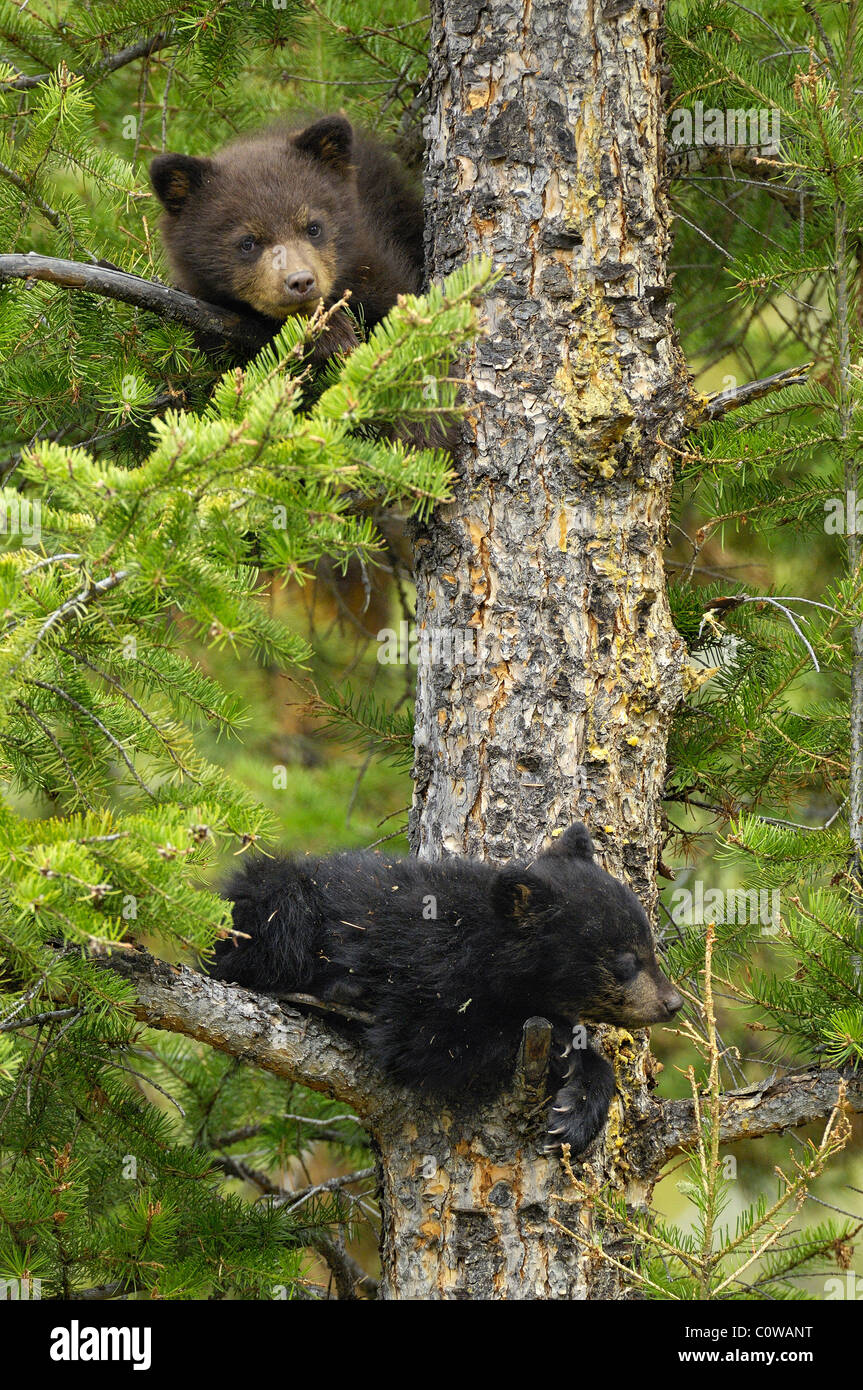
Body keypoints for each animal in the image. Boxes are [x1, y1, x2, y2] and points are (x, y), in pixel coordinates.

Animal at [210, 823, 682, 1154]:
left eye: (651, 945)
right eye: (625, 960)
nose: (672, 1003)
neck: (485, 947)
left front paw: (573, 1115)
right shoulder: (429, 970)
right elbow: (429, 1041)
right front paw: (562, 1051)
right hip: (275, 901)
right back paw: (340, 992)